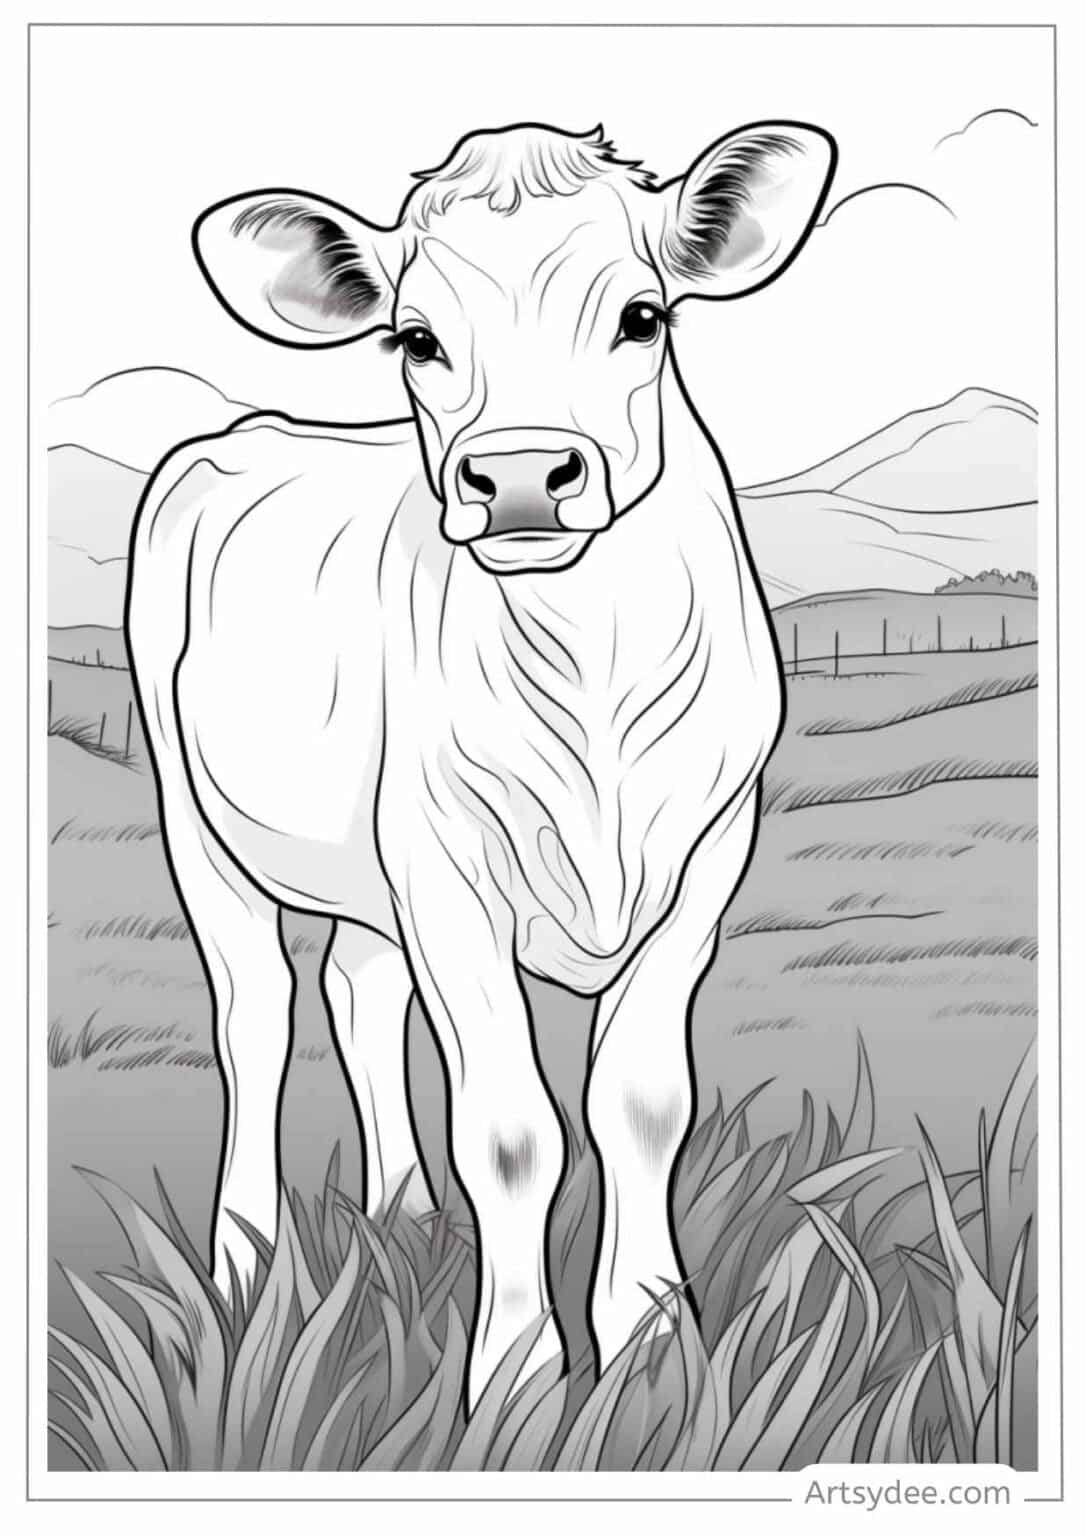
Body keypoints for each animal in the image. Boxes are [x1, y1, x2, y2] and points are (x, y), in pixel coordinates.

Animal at [126, 120, 835, 1405]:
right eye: (418, 339)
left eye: (642, 316)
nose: (516, 479)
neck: (591, 663)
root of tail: (251, 429)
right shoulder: (449, 872)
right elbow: (512, 1132)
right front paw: (517, 1384)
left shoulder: (707, 861)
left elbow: (641, 1104)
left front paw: (654, 1343)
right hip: (196, 820)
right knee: (255, 1021)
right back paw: (245, 1265)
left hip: (369, 867)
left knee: (359, 993)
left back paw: (404, 1219)